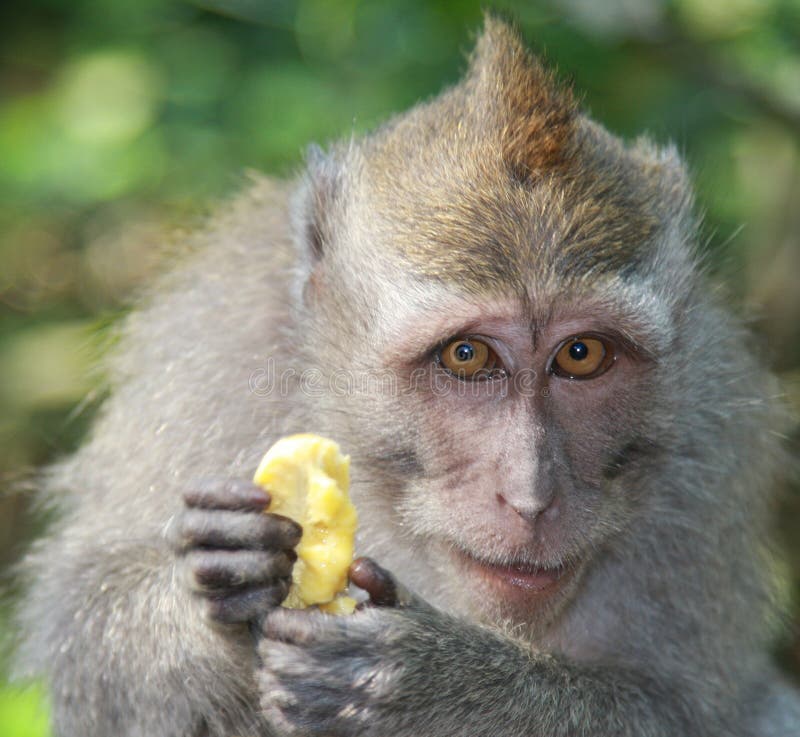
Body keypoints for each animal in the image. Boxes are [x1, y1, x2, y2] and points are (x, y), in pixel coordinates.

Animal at [12, 15, 800, 737]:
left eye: (583, 355)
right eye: (467, 356)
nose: (531, 497)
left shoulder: (710, 432)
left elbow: (688, 710)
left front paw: (433, 686)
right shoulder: (208, 346)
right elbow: (82, 632)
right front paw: (217, 581)